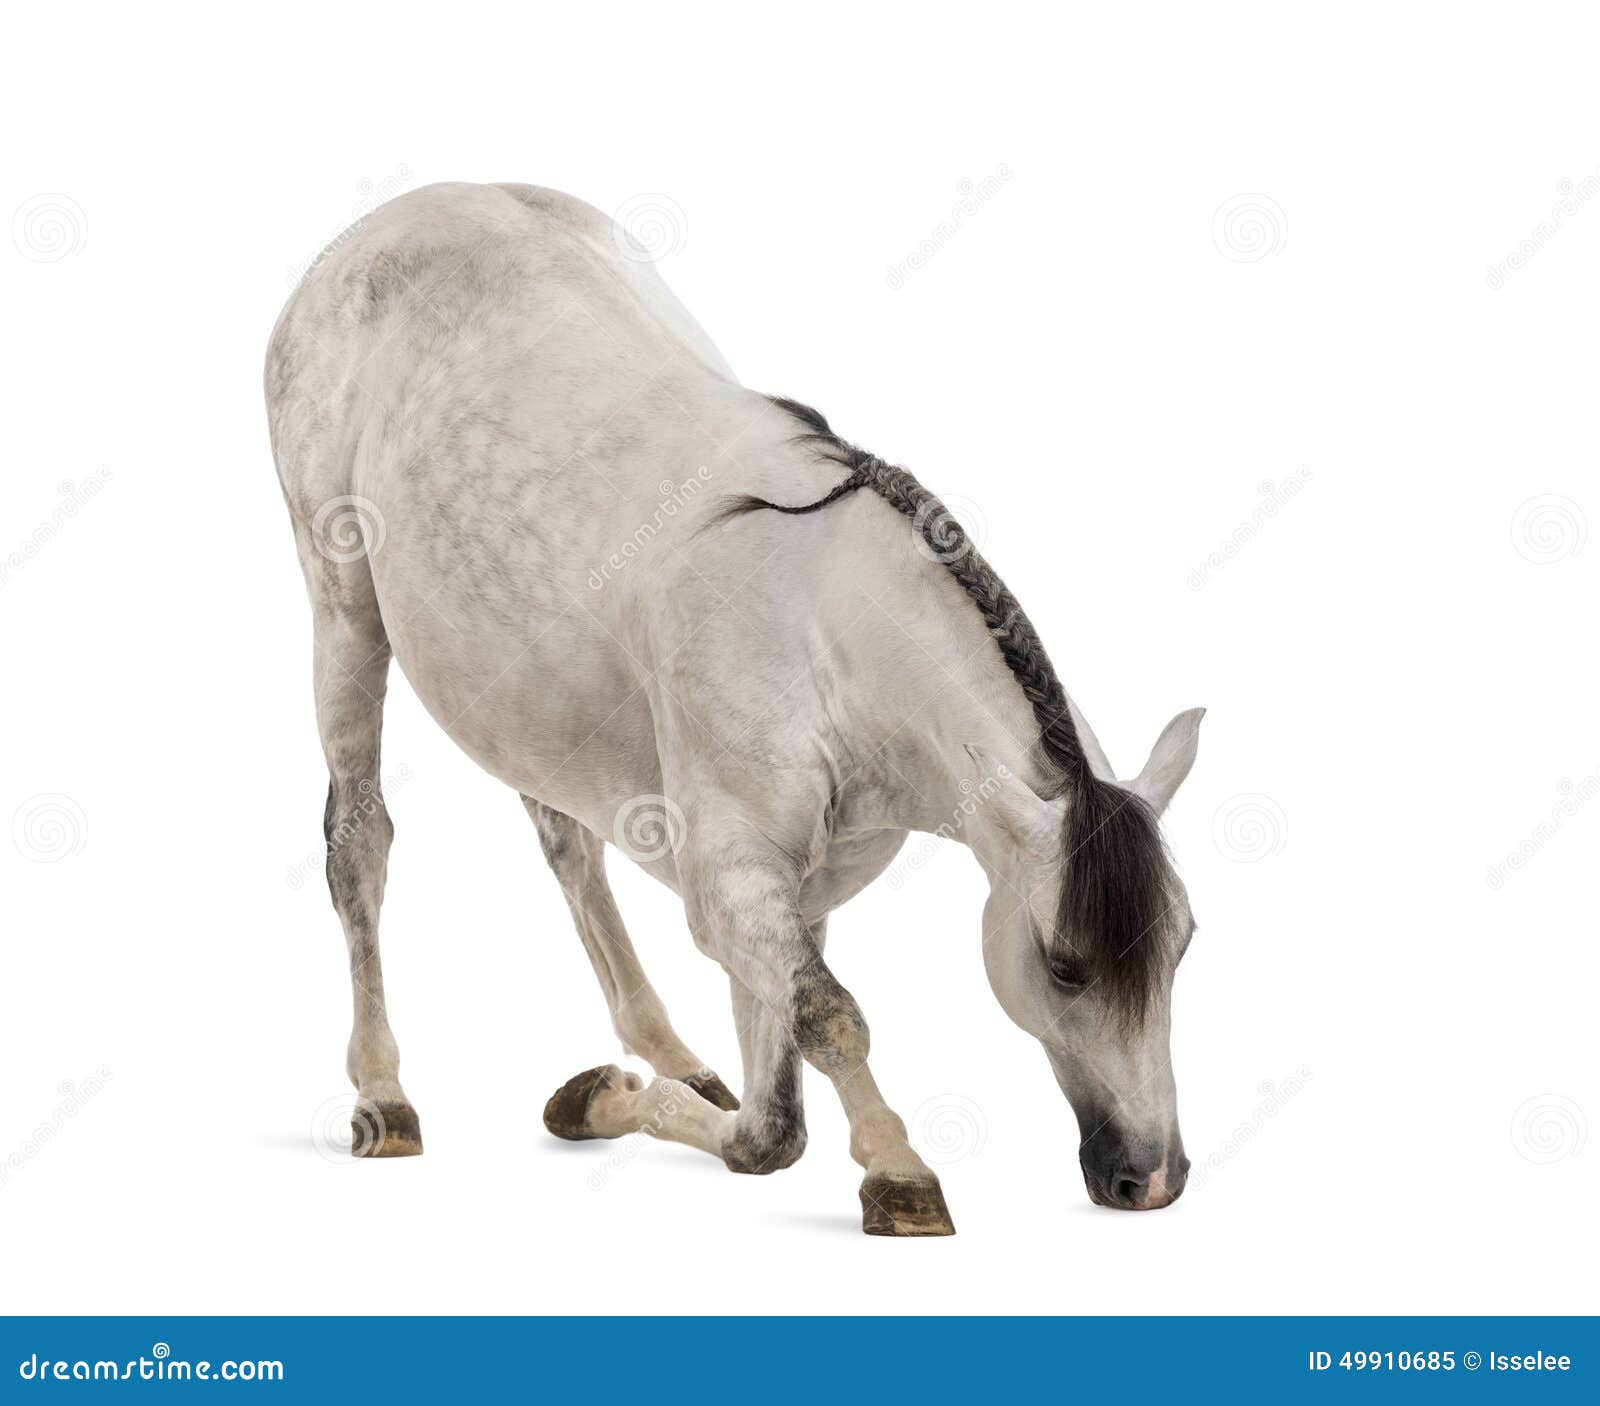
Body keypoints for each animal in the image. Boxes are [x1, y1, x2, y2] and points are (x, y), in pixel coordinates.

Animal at [264, 181, 1204, 1236]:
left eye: (1182, 946)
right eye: (1065, 964)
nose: (1150, 1180)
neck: (825, 630)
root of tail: (390, 219)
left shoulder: (801, 887)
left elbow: (769, 1118)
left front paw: (606, 1095)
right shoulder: (733, 878)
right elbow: (828, 1022)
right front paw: (898, 1173)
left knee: (566, 842)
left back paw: (669, 1057)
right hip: (342, 609)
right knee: (360, 843)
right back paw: (383, 1096)